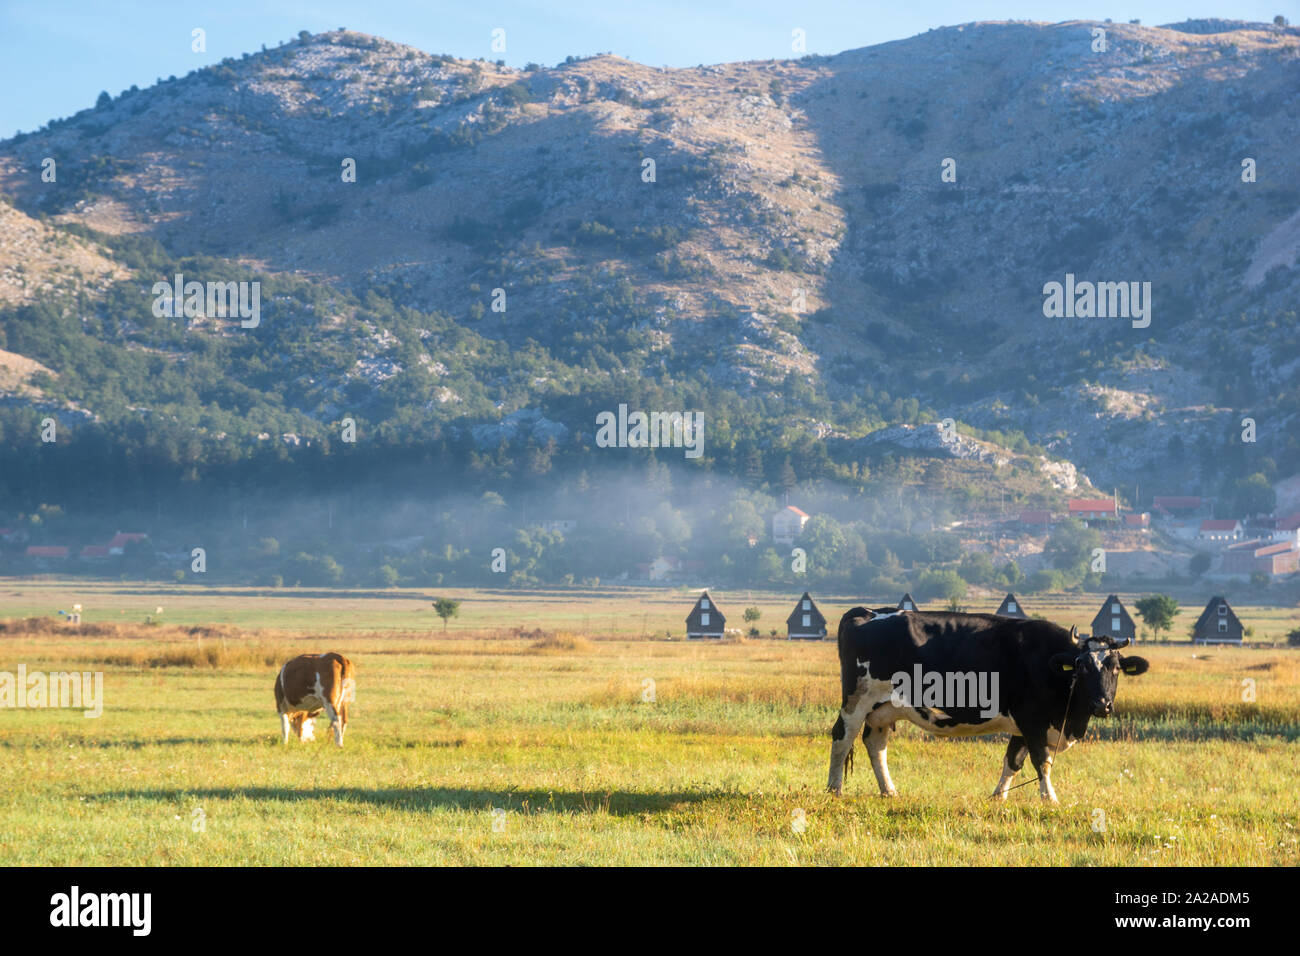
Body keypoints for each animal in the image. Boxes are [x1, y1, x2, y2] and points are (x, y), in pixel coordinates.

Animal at [827, 607, 1148, 803]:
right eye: (1082, 667)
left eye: (1116, 668)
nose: (1102, 704)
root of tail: (867, 612)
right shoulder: (1032, 721)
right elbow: (1041, 761)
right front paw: (1050, 799)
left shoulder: (1023, 727)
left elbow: (1012, 761)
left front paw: (998, 797)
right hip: (857, 700)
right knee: (842, 737)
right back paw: (834, 789)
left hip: (883, 709)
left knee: (875, 744)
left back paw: (889, 791)